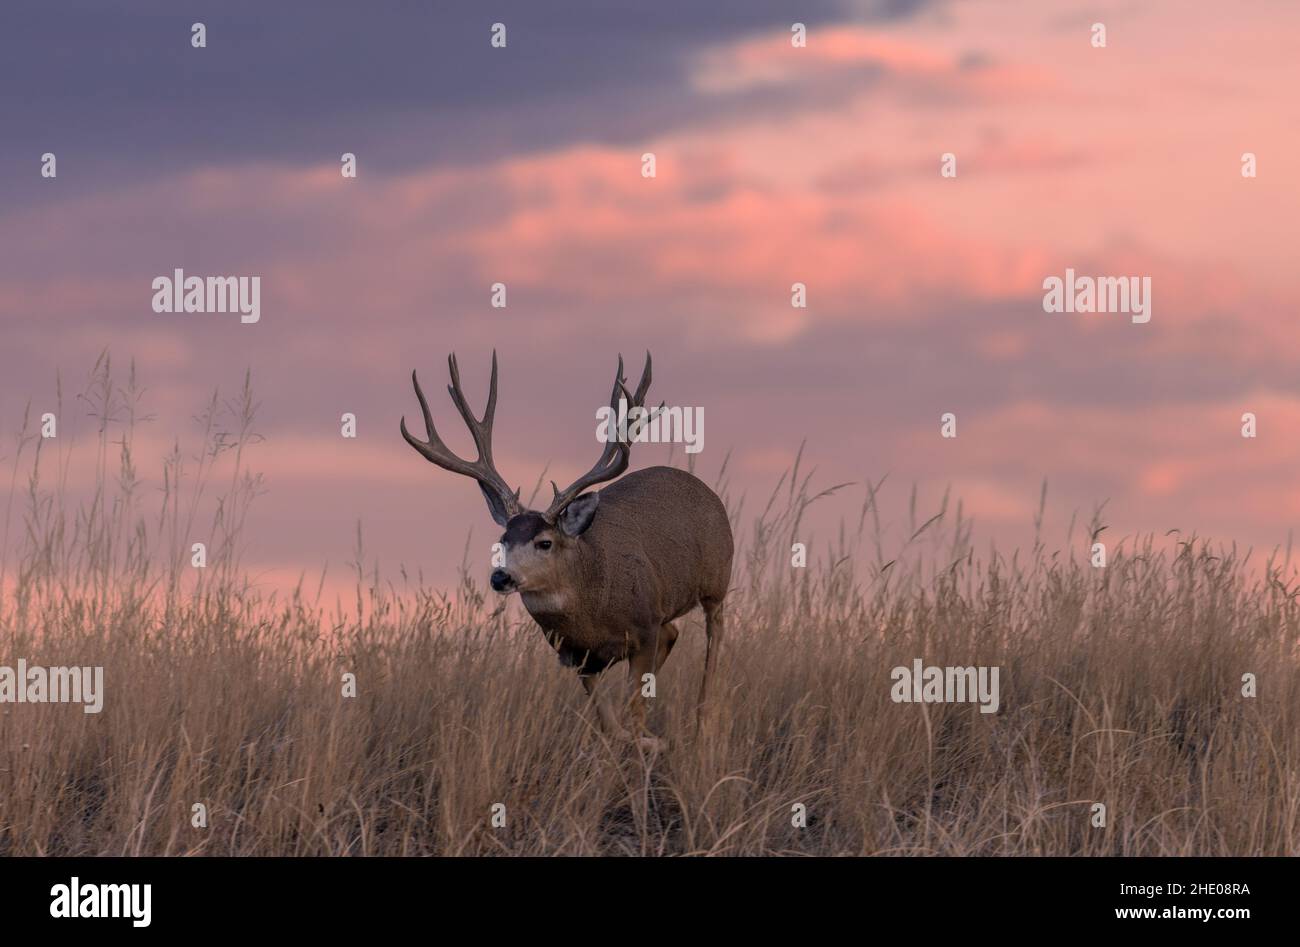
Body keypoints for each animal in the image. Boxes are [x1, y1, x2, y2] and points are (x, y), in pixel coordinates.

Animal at [400, 351, 733, 750]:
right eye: (502, 540)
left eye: (545, 542)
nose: (501, 576)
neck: (593, 607)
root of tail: (704, 489)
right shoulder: (575, 656)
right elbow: (611, 724)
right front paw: (640, 741)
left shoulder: (645, 625)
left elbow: (634, 714)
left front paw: (651, 742)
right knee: (675, 634)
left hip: (716, 581)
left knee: (714, 642)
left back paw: (702, 724)